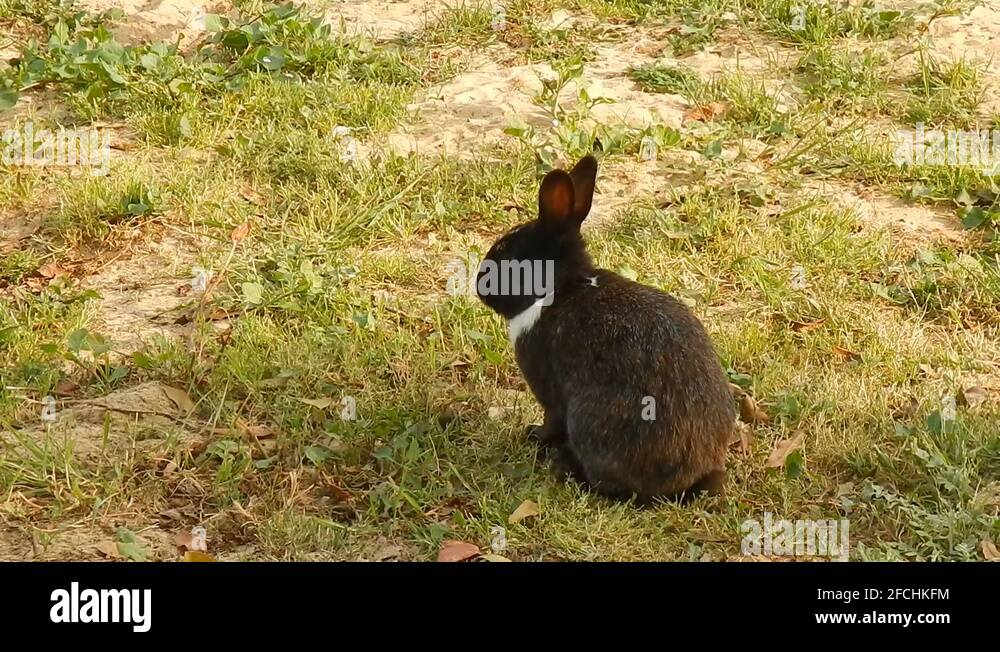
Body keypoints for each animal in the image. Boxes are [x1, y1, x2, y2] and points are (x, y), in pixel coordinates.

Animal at [475, 154, 735, 504]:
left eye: (505, 257)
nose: (479, 287)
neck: (558, 288)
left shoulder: (548, 391)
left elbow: (550, 420)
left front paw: (533, 434)